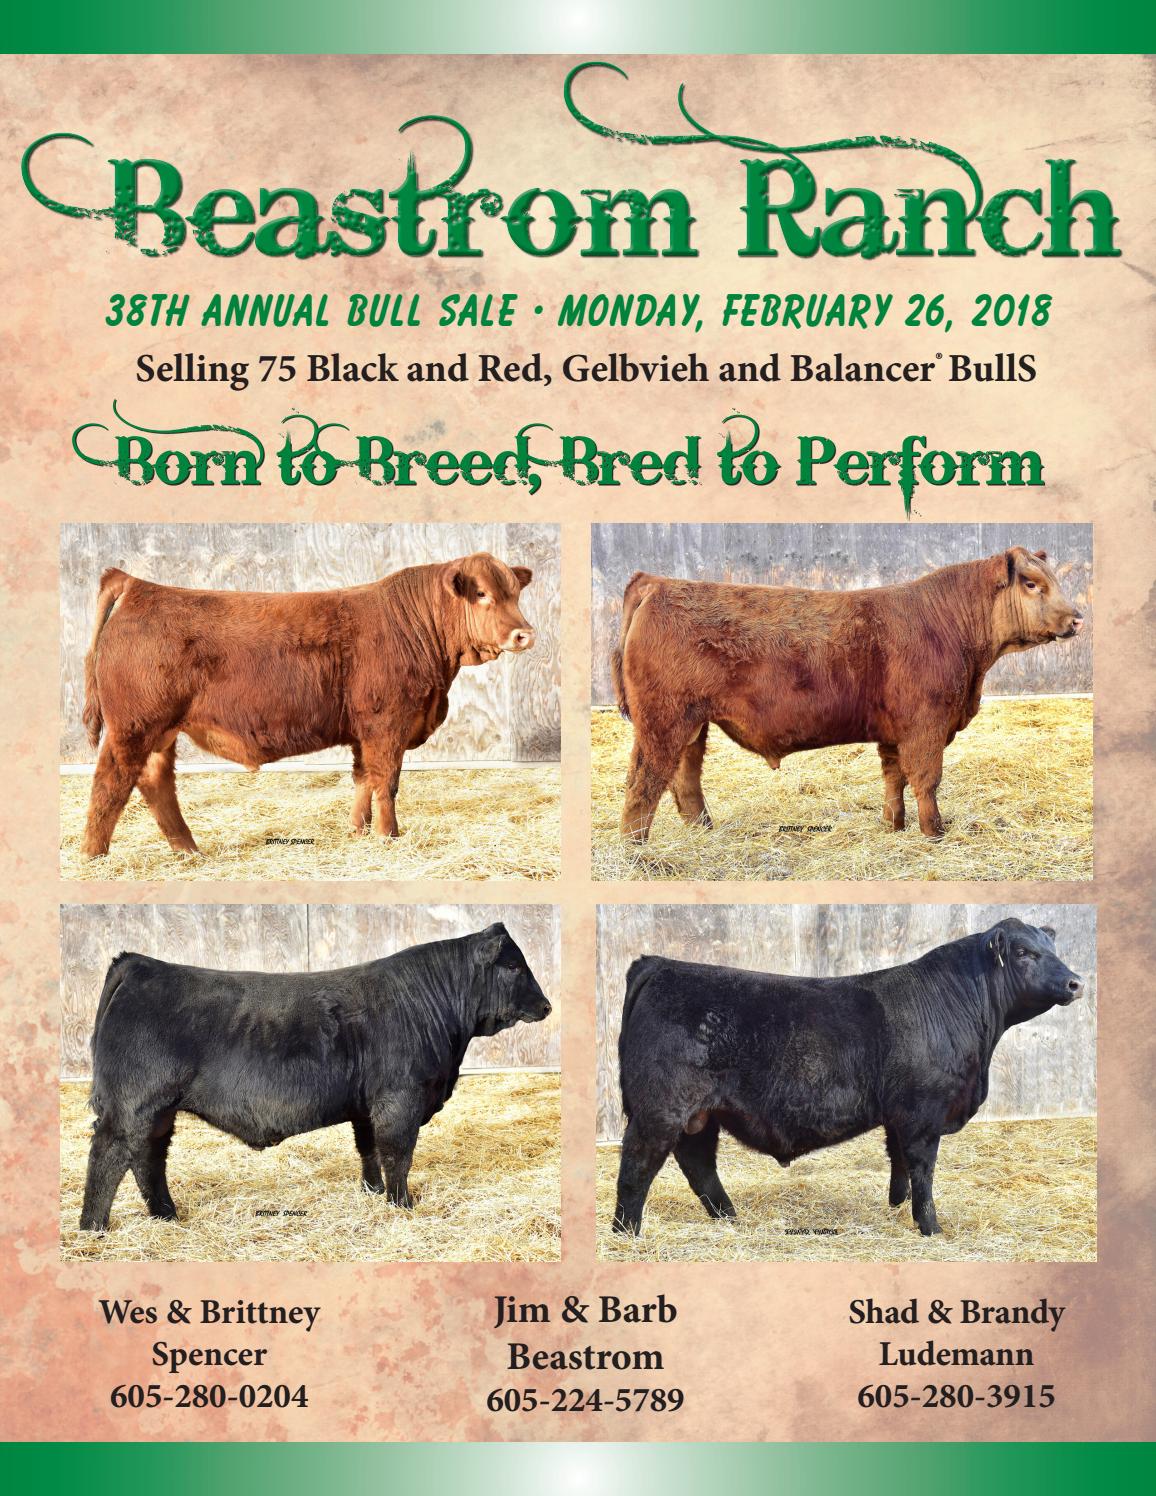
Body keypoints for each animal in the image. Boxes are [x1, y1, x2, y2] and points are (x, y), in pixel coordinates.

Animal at [79, 552, 536, 856]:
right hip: (135, 726)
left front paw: (358, 830)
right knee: (110, 782)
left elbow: (362, 779)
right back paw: (94, 854)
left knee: (155, 782)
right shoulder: (387, 723)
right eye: (481, 593)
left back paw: (188, 849)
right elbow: (386, 782)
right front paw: (388, 835)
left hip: (161, 731)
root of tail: (138, 585)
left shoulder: (363, 730)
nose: (524, 634)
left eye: (515, 594)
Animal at [79, 923, 552, 1231]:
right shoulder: (400, 1099)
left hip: (158, 1111)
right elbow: (398, 1154)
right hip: (134, 1105)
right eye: (514, 966)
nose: (547, 1006)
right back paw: (93, 1228)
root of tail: (139, 964)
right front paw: (403, 1205)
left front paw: (373, 1195)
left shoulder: (367, 1105)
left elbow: (369, 1151)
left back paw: (166, 1215)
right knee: (109, 1156)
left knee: (148, 1158)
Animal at [611, 549, 1084, 841]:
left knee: (684, 781)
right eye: (1030, 583)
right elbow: (926, 779)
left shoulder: (894, 732)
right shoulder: (926, 726)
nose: (1077, 618)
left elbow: (894, 777)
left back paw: (704, 833)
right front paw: (935, 832)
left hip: (691, 725)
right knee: (642, 784)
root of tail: (655, 583)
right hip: (663, 722)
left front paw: (894, 825)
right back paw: (639, 855)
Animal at [612, 918, 1084, 1237]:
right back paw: (627, 1233)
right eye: (1024, 953)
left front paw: (896, 1208)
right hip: (661, 1108)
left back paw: (730, 1218)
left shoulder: (900, 1116)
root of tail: (659, 964)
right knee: (638, 1164)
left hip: (701, 1115)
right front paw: (931, 1227)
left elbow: (899, 1164)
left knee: (698, 1163)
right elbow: (922, 1170)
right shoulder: (922, 1114)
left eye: (1052, 947)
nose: (1076, 982)